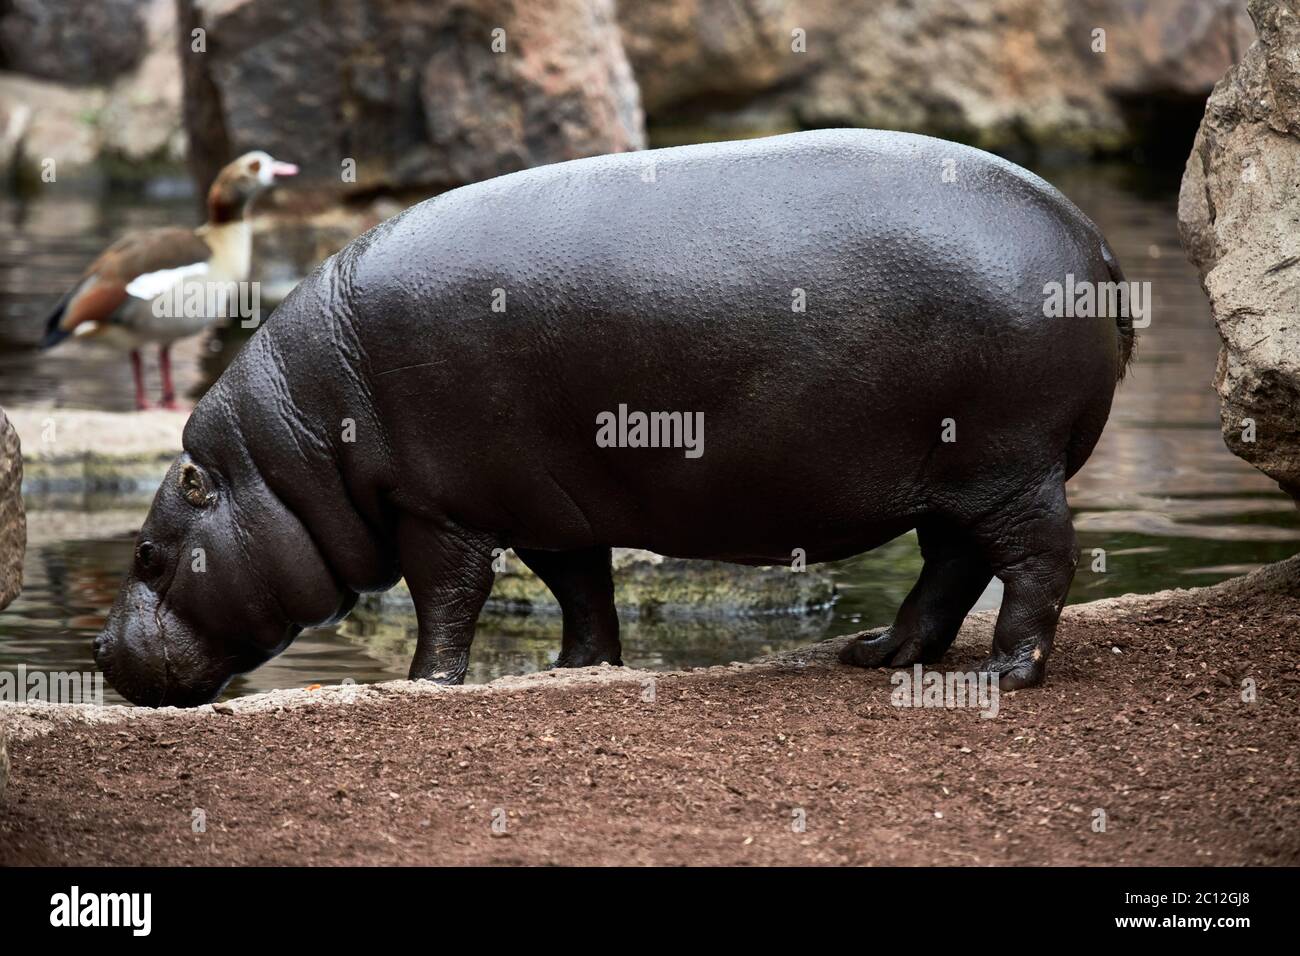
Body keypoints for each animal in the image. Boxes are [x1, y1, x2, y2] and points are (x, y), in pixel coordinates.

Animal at [94, 129, 1134, 707]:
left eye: (147, 554)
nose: (99, 651)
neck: (290, 456)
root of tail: (1094, 242)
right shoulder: (547, 500)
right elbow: (579, 587)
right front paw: (571, 672)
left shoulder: (437, 508)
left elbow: (447, 597)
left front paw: (423, 686)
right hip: (957, 476)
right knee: (950, 566)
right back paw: (875, 655)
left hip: (1009, 465)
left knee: (1036, 562)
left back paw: (1002, 676)